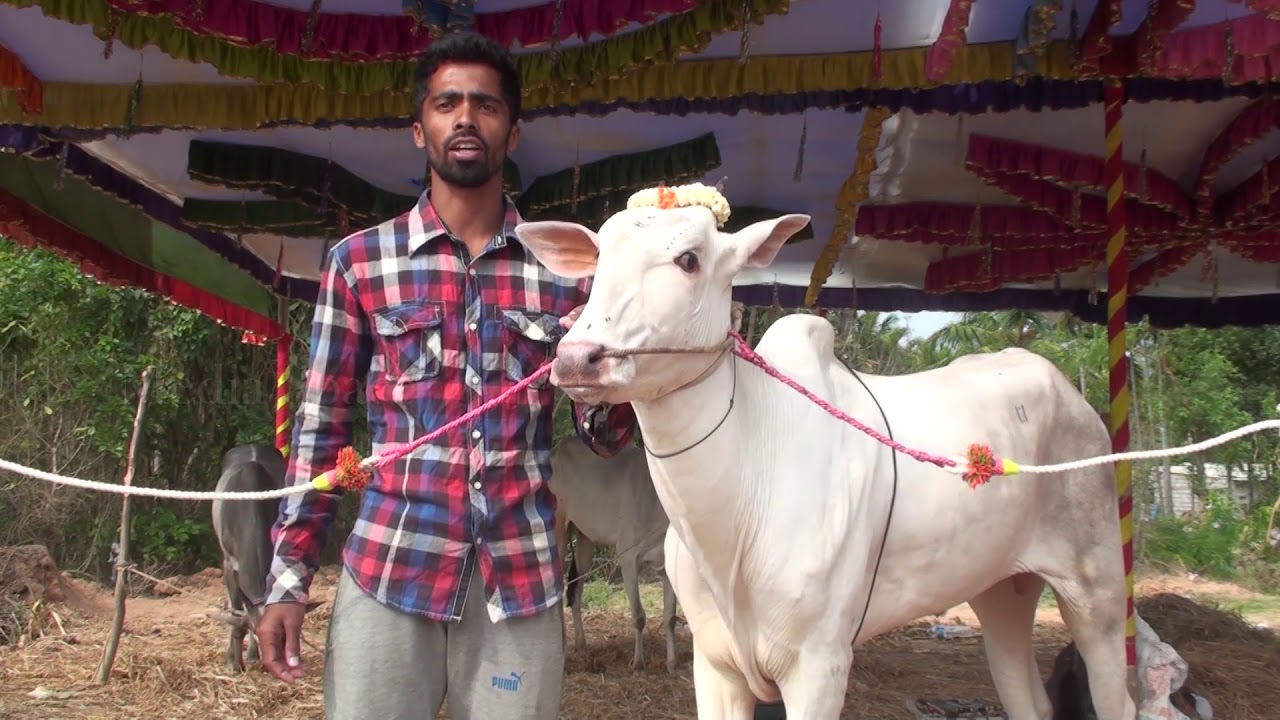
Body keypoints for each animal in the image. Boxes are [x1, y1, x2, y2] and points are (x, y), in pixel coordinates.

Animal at [548, 439, 679, 672]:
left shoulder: (665, 566)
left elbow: (670, 617)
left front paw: (672, 664)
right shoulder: (628, 558)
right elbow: (638, 615)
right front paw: (638, 664)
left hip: (585, 540)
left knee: (577, 591)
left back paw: (581, 644)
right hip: (559, 530)